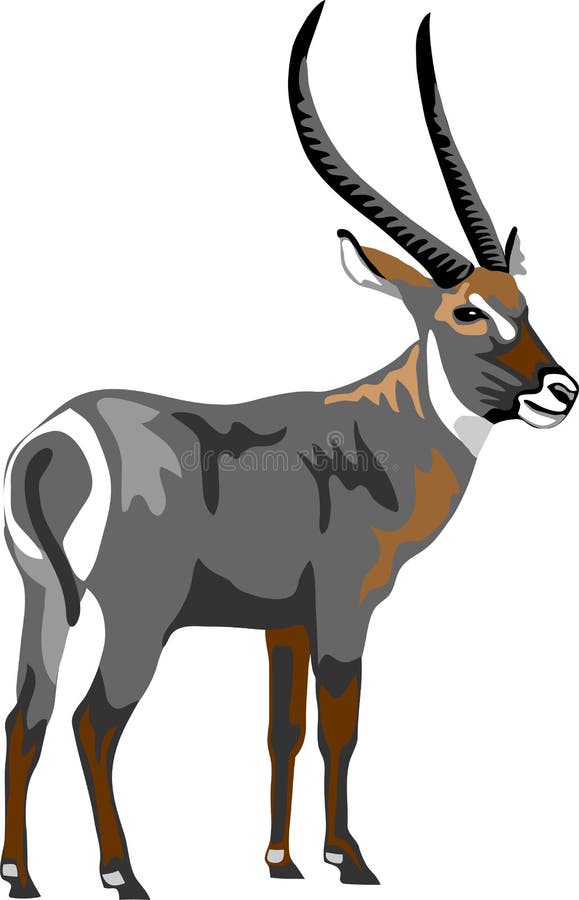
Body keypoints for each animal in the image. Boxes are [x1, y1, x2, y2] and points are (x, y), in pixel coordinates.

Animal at [2, 3, 577, 897]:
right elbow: (341, 726)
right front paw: (351, 858)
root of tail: (59, 436)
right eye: (466, 312)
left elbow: (284, 730)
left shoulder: (283, 625)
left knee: (24, 715)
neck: (373, 435)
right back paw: (122, 873)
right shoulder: (344, 608)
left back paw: (21, 876)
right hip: (137, 618)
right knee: (92, 721)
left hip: (42, 603)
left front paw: (280, 861)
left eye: (522, 300)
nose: (559, 389)